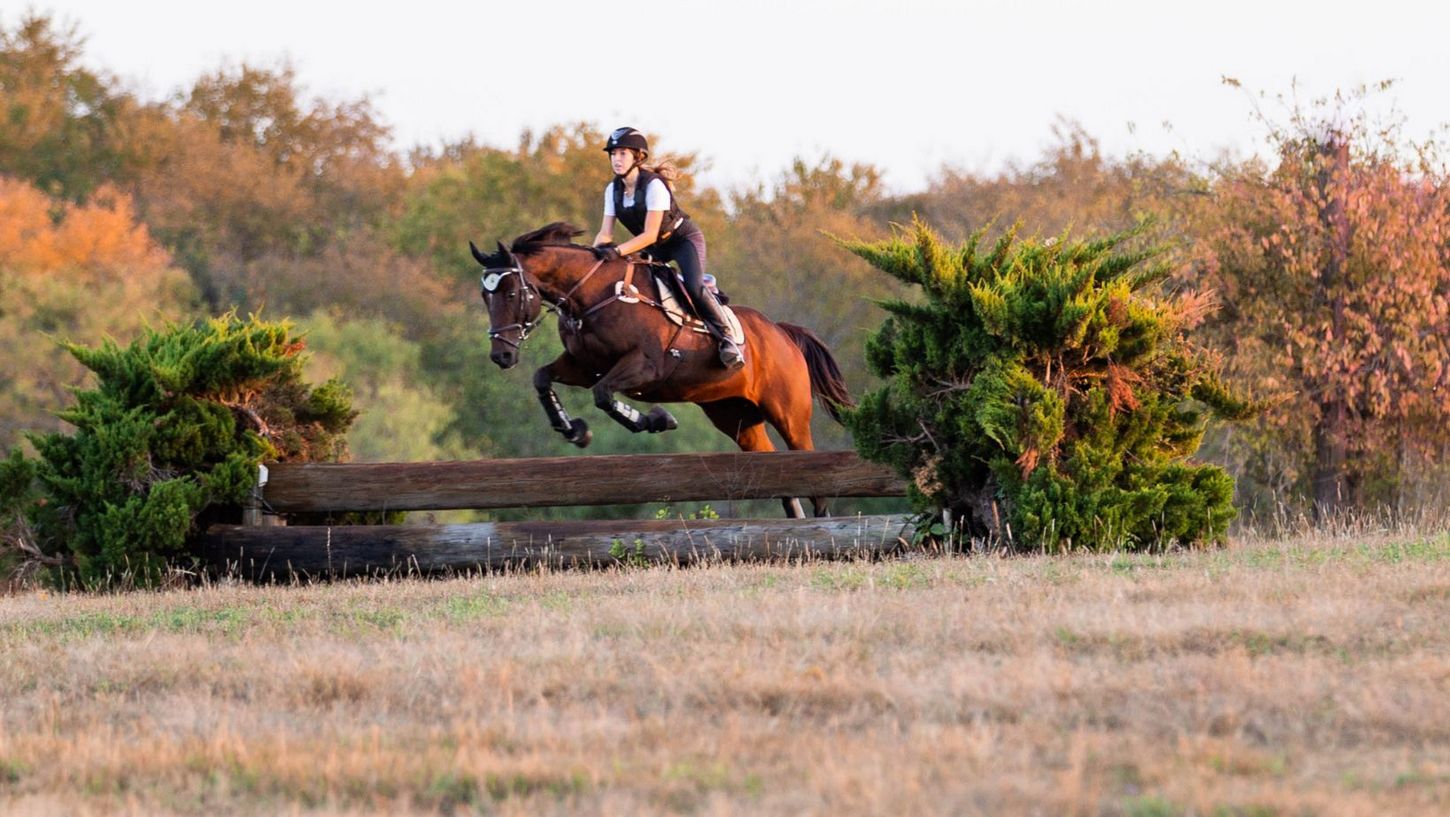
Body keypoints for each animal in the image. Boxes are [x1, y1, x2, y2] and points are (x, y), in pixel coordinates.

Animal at [466, 223, 846, 516]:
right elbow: (543, 378)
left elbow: (604, 396)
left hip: (788, 414)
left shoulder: (645, 367)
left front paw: (657, 420)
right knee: (775, 471)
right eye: (485, 296)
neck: (592, 295)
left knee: (808, 466)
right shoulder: (585, 366)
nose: (501, 355)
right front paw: (574, 430)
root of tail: (783, 333)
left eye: (511, 293)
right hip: (734, 416)